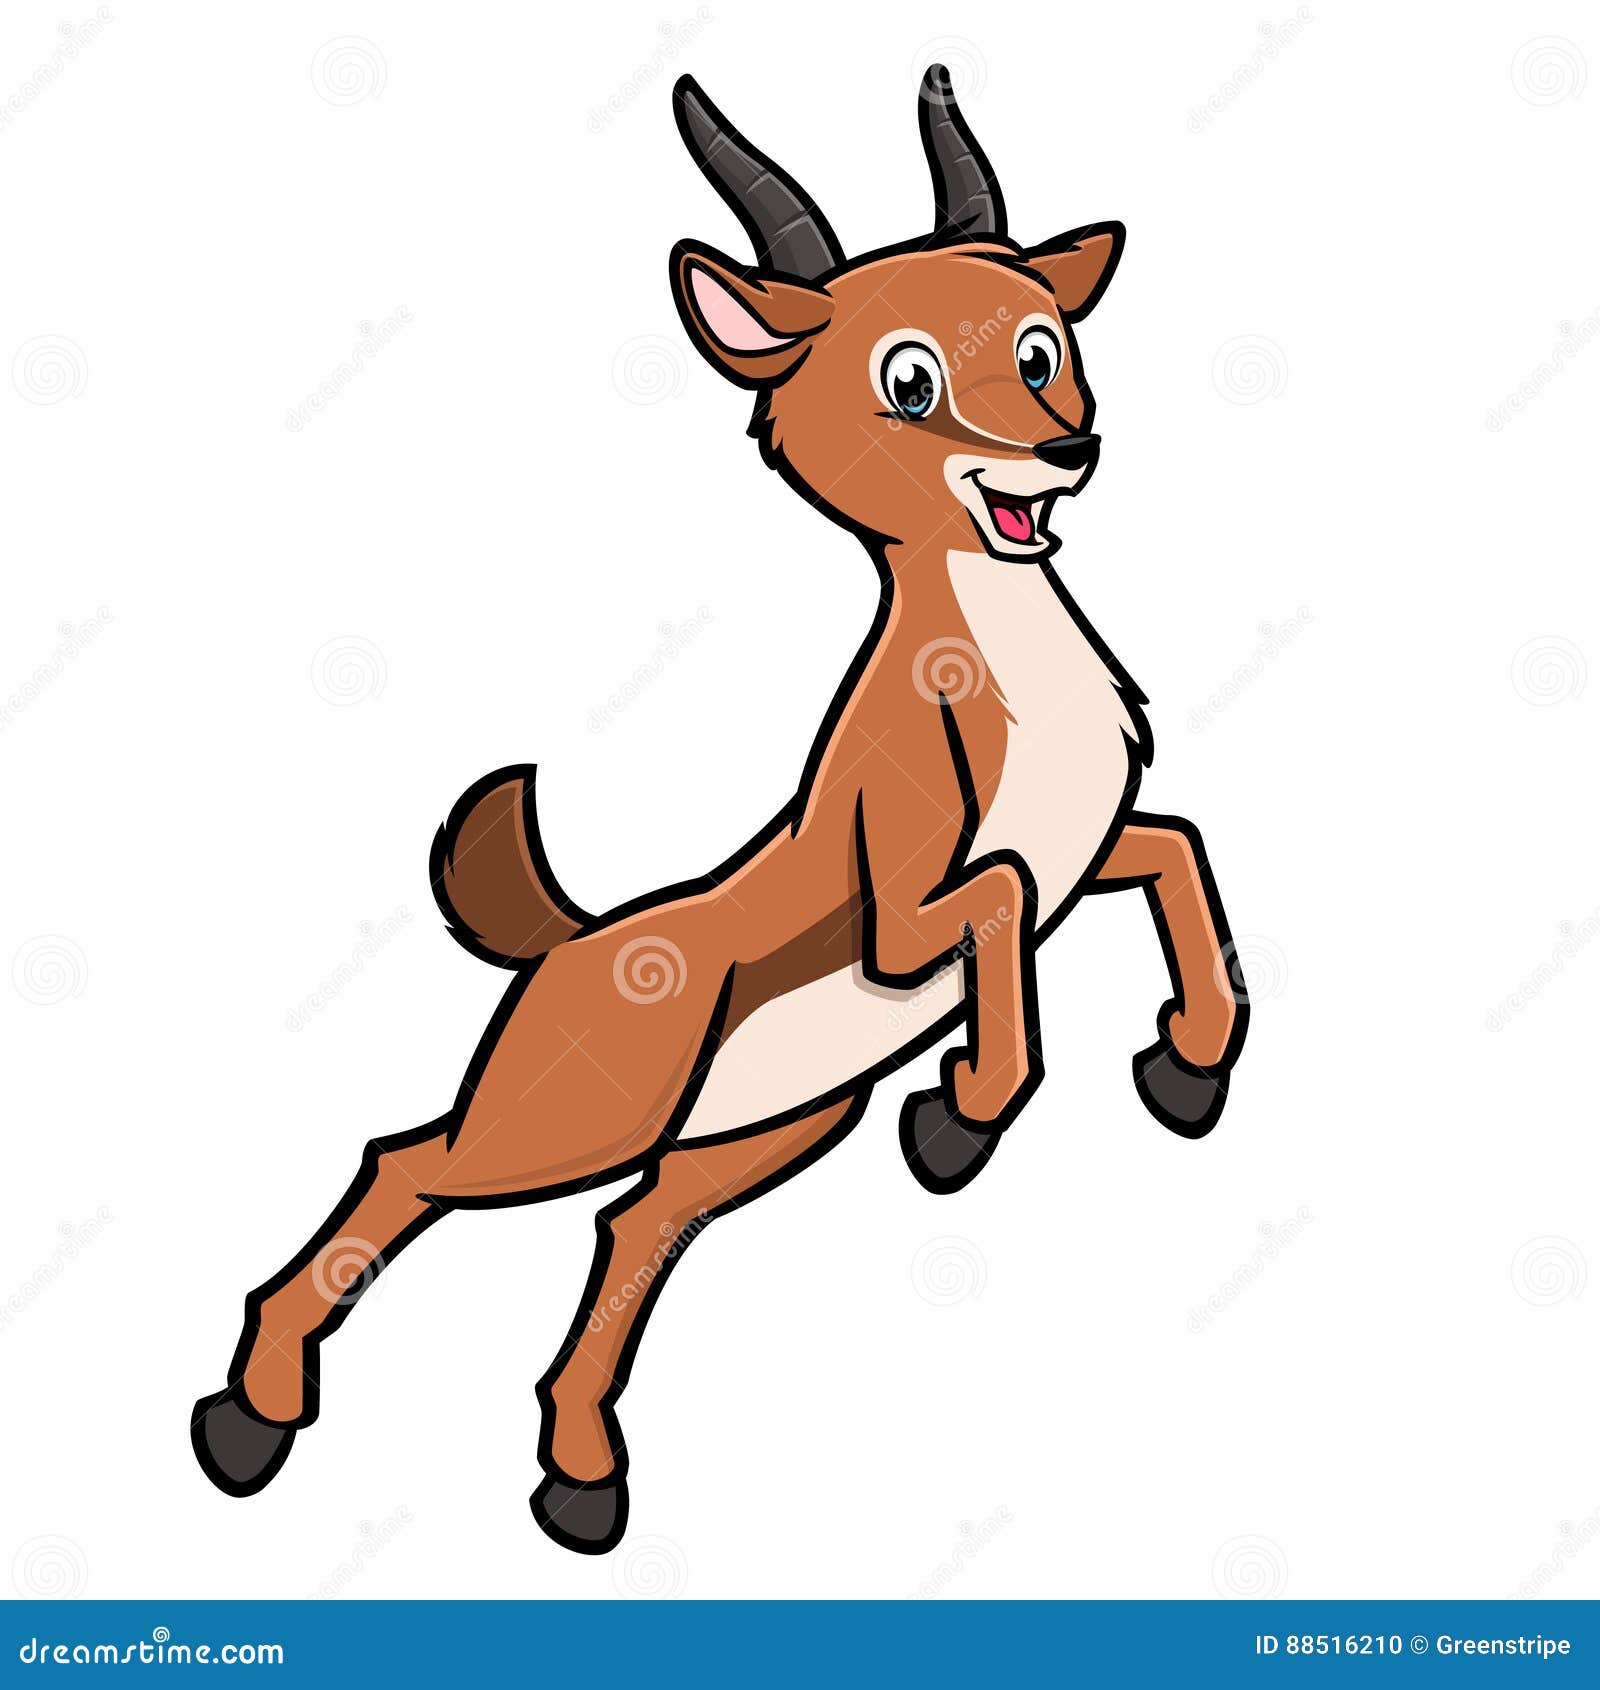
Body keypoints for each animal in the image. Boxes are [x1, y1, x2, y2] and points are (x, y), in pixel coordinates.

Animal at [192, 66, 1249, 1554]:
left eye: (1044, 348)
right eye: (908, 377)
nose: (1067, 447)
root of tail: (570, 942)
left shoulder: (1086, 855)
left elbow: (1177, 856)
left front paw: (1186, 1064)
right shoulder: (913, 916)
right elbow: (993, 910)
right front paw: (966, 1112)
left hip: (761, 1133)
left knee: (630, 1231)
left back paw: (579, 1478)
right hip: (572, 1121)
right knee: (406, 1162)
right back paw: (249, 1417)